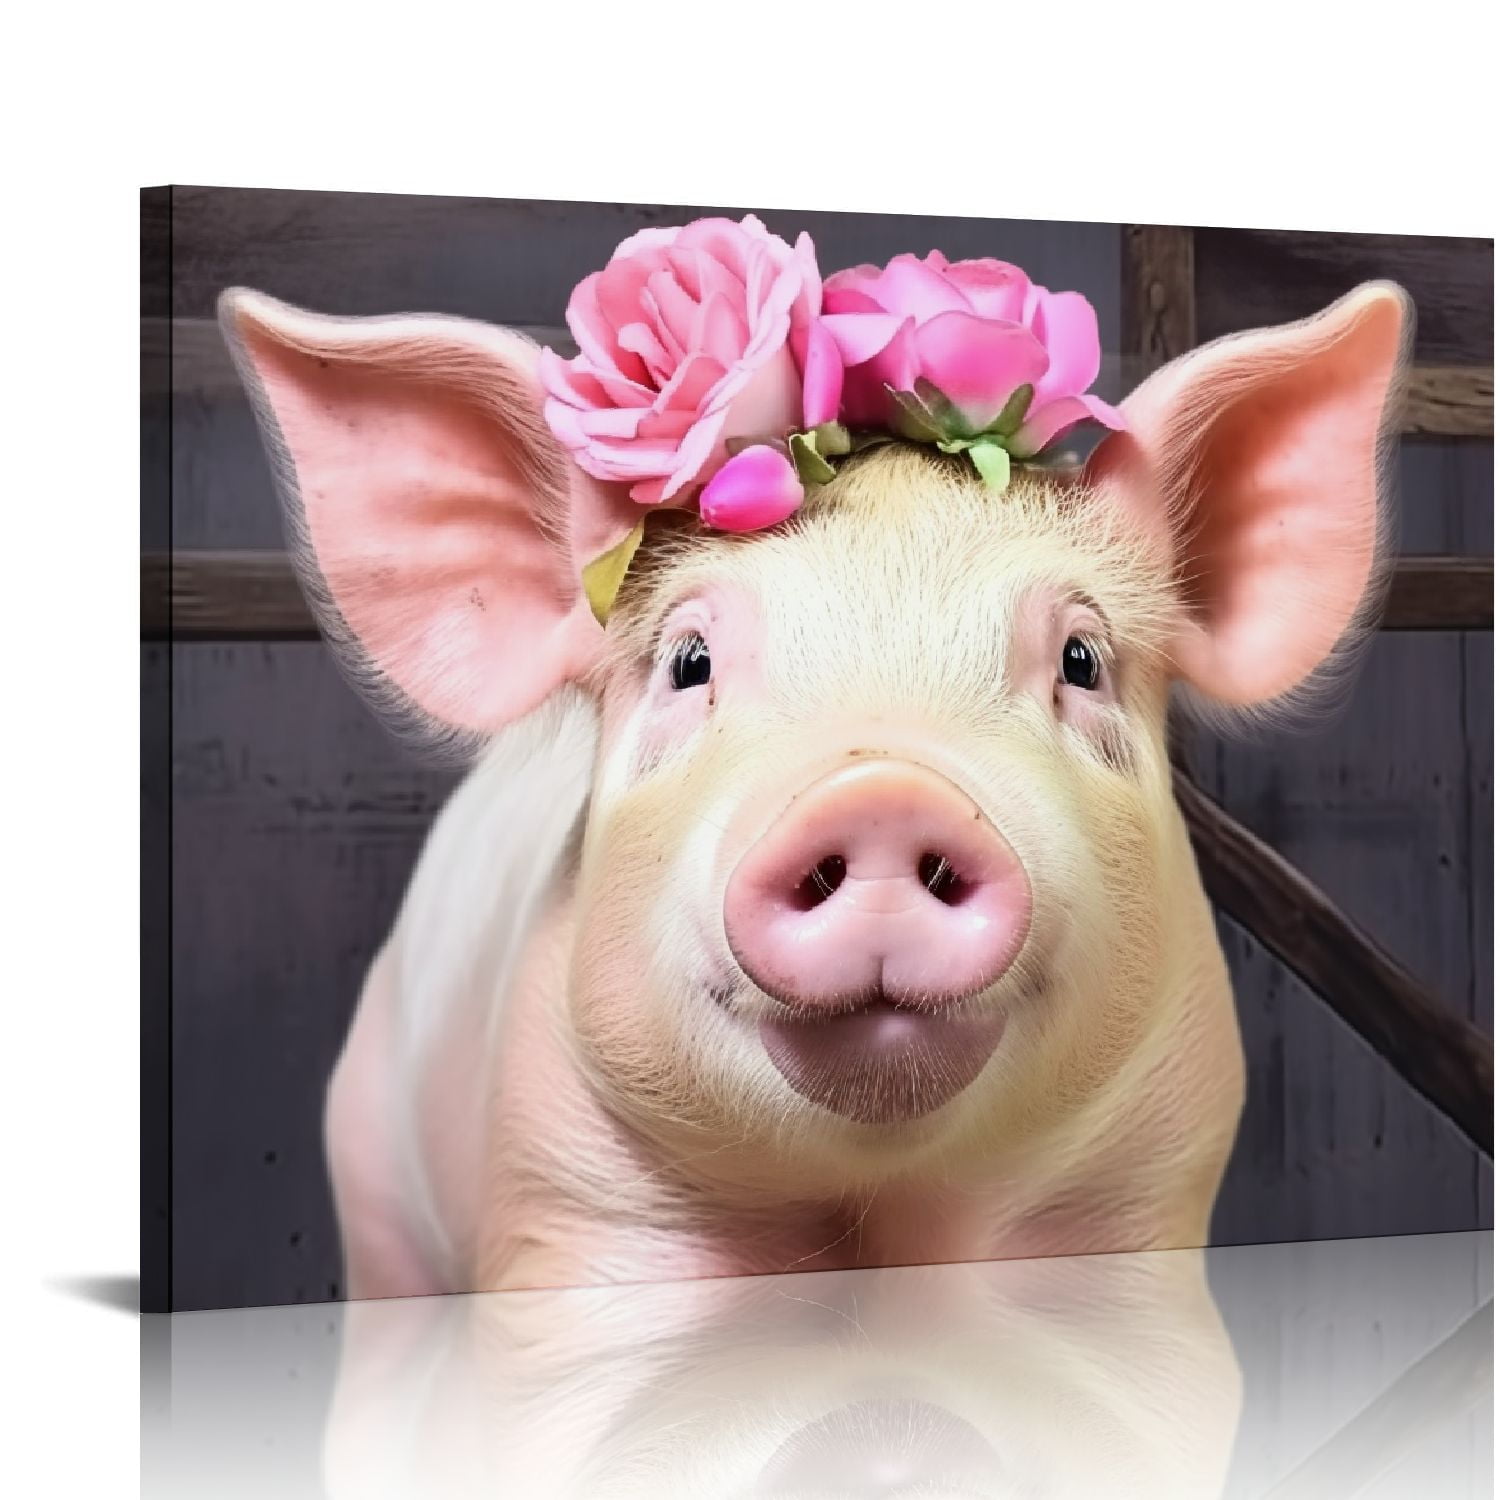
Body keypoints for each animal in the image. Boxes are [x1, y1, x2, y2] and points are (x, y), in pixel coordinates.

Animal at [219, 275, 1410, 1301]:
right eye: (689, 661)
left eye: (1081, 660)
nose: (880, 789)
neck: (876, 1215)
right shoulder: (570, 1190)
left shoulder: (1143, 1187)